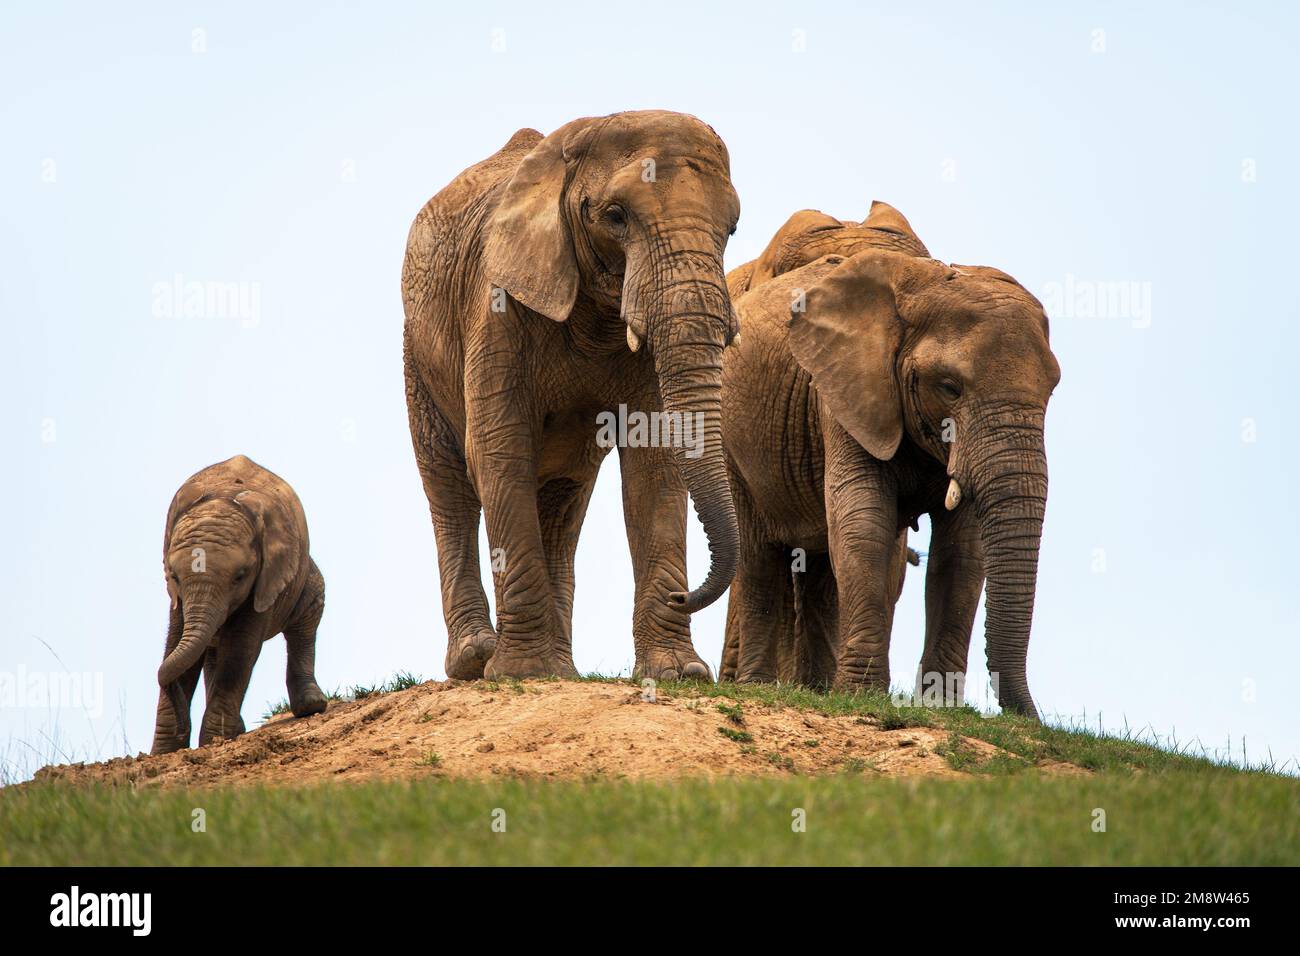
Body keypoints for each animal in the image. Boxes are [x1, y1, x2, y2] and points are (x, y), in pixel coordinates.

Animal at [151, 455, 327, 755]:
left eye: (240, 576)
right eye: (173, 575)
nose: (182, 725)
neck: (222, 498)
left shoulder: (267, 578)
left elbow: (239, 650)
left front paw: (213, 741)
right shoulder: (178, 597)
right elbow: (176, 642)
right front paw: (164, 753)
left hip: (303, 576)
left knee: (306, 621)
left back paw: (311, 706)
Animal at [401, 110, 742, 683]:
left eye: (733, 227)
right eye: (616, 216)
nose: (684, 596)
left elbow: (655, 462)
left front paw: (678, 675)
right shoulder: (495, 305)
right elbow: (498, 448)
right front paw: (522, 673)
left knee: (562, 502)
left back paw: (562, 668)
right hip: (417, 357)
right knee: (448, 485)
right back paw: (478, 659)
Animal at [718, 202, 1060, 718]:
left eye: (1053, 389)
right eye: (949, 387)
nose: (1029, 717)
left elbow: (963, 550)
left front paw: (939, 709)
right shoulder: (844, 388)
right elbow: (863, 521)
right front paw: (862, 695)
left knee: (820, 563)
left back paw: (818, 689)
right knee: (759, 554)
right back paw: (760, 686)